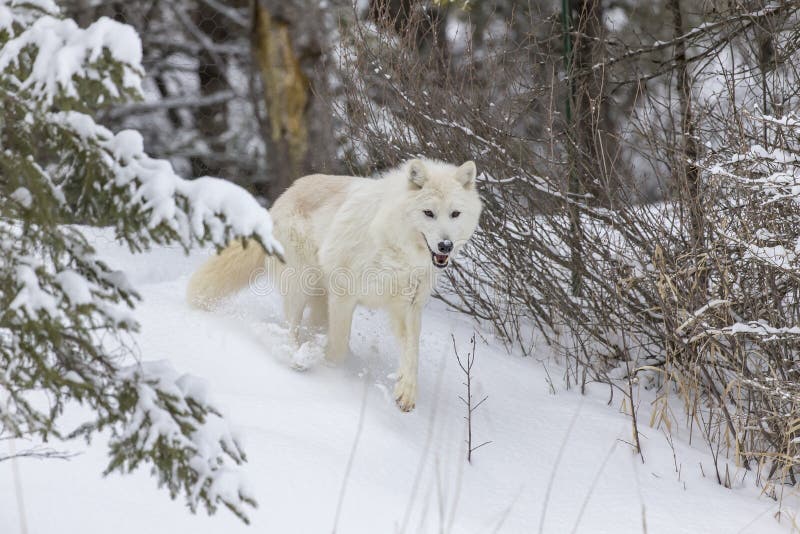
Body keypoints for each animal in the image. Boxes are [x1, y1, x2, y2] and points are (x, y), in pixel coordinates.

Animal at [186, 158, 482, 411]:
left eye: (455, 214)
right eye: (428, 213)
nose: (445, 245)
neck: (396, 250)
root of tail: (282, 197)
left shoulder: (408, 307)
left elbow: (412, 353)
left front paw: (406, 393)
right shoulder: (344, 295)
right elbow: (338, 348)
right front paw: (331, 373)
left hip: (319, 296)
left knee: (310, 325)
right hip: (300, 285)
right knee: (291, 327)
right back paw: (295, 357)